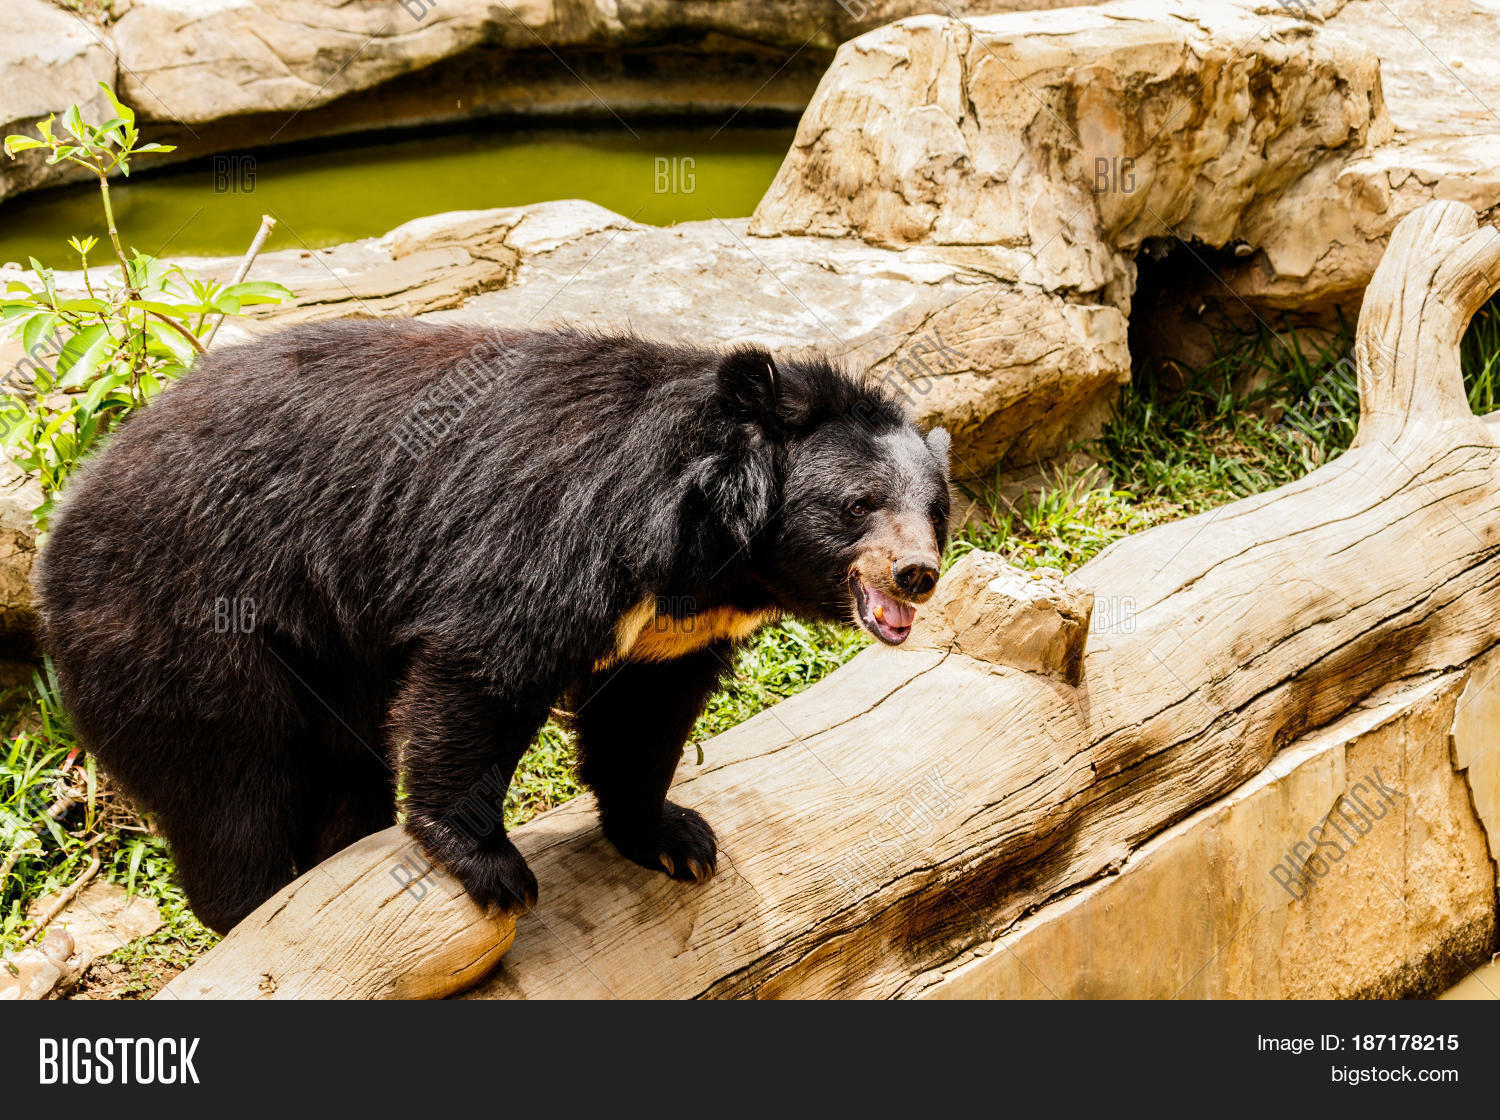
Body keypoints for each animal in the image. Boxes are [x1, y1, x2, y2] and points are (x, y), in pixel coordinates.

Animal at [35, 319, 952, 934]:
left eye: (934, 511)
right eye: (859, 506)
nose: (916, 574)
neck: (716, 552)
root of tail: (69, 514)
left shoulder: (675, 630)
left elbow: (643, 718)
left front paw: (674, 837)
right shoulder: (562, 529)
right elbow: (486, 668)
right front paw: (490, 866)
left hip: (321, 646)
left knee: (336, 761)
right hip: (186, 616)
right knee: (232, 781)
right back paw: (256, 904)